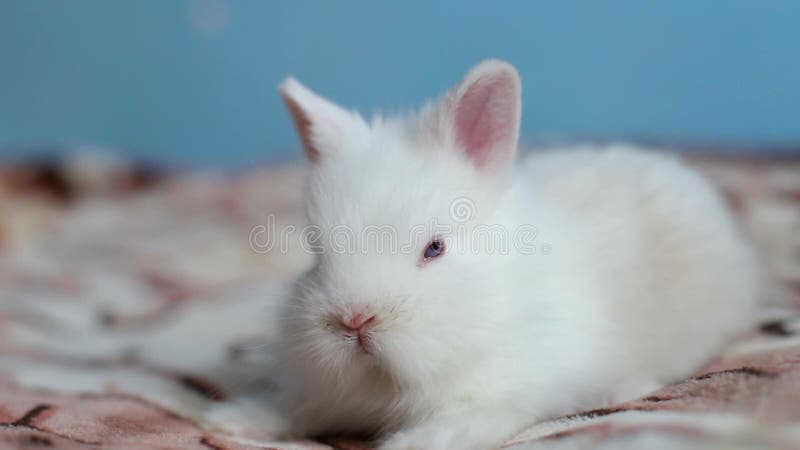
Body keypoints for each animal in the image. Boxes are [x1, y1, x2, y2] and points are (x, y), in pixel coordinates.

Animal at [258, 59, 763, 450]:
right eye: (317, 252)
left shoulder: (501, 397)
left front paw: (410, 442)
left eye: (434, 249)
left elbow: (457, 426)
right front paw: (246, 418)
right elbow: (293, 410)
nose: (355, 320)